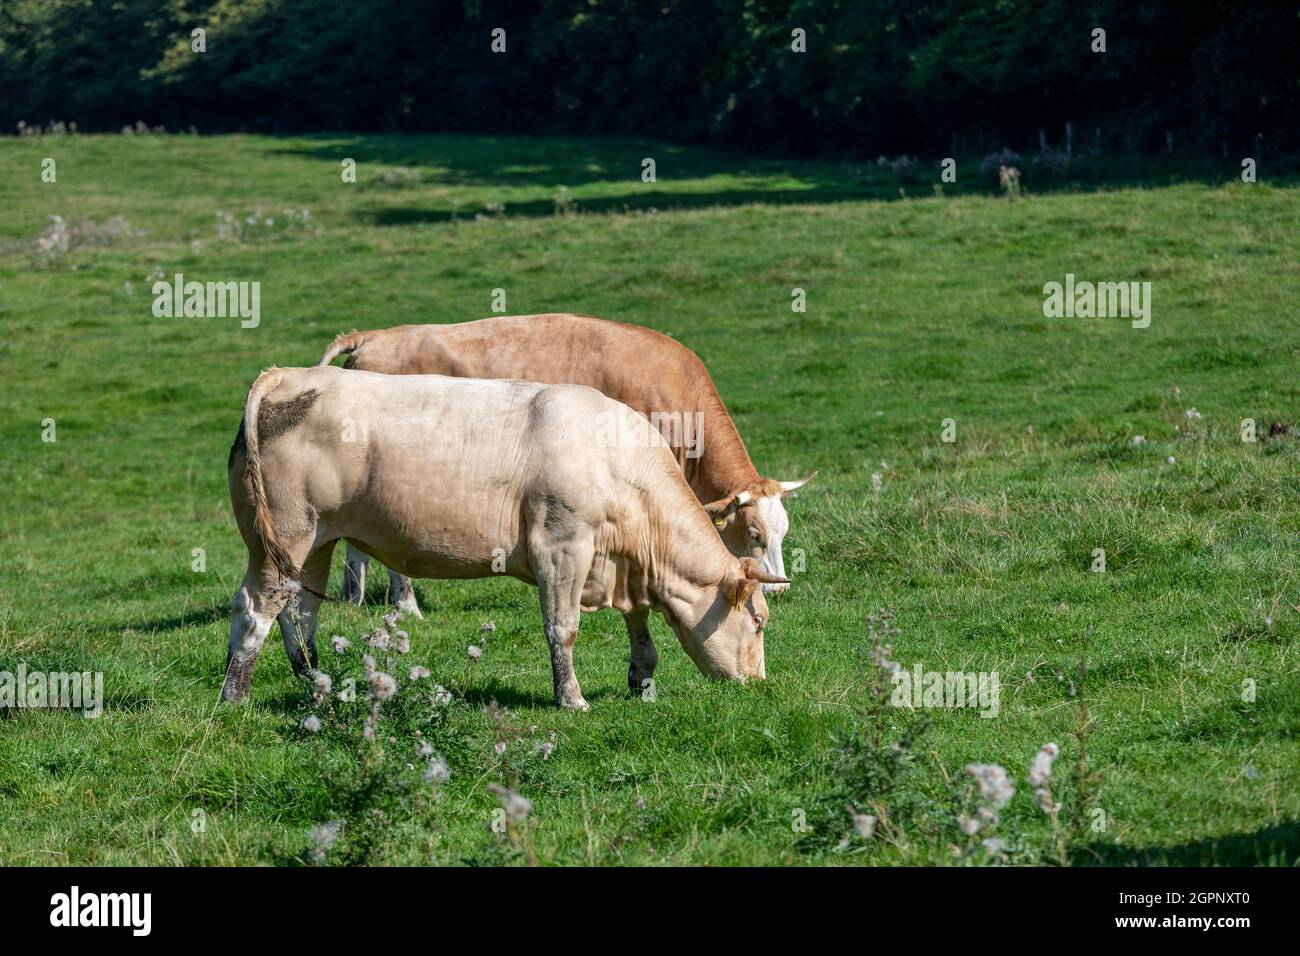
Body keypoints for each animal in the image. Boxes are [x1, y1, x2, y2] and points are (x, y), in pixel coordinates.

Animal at [223, 365, 788, 708]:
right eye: (759, 621)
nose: (759, 685)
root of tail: (287, 376)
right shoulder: (562, 549)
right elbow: (563, 630)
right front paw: (572, 698)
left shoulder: (622, 563)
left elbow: (640, 626)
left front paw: (641, 682)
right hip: (286, 536)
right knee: (255, 609)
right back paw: (236, 696)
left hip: (316, 542)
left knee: (300, 613)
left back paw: (316, 686)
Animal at [318, 313, 815, 615]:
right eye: (754, 534)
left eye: (785, 531)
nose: (780, 587)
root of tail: (375, 336)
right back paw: (406, 606)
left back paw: (353, 597)